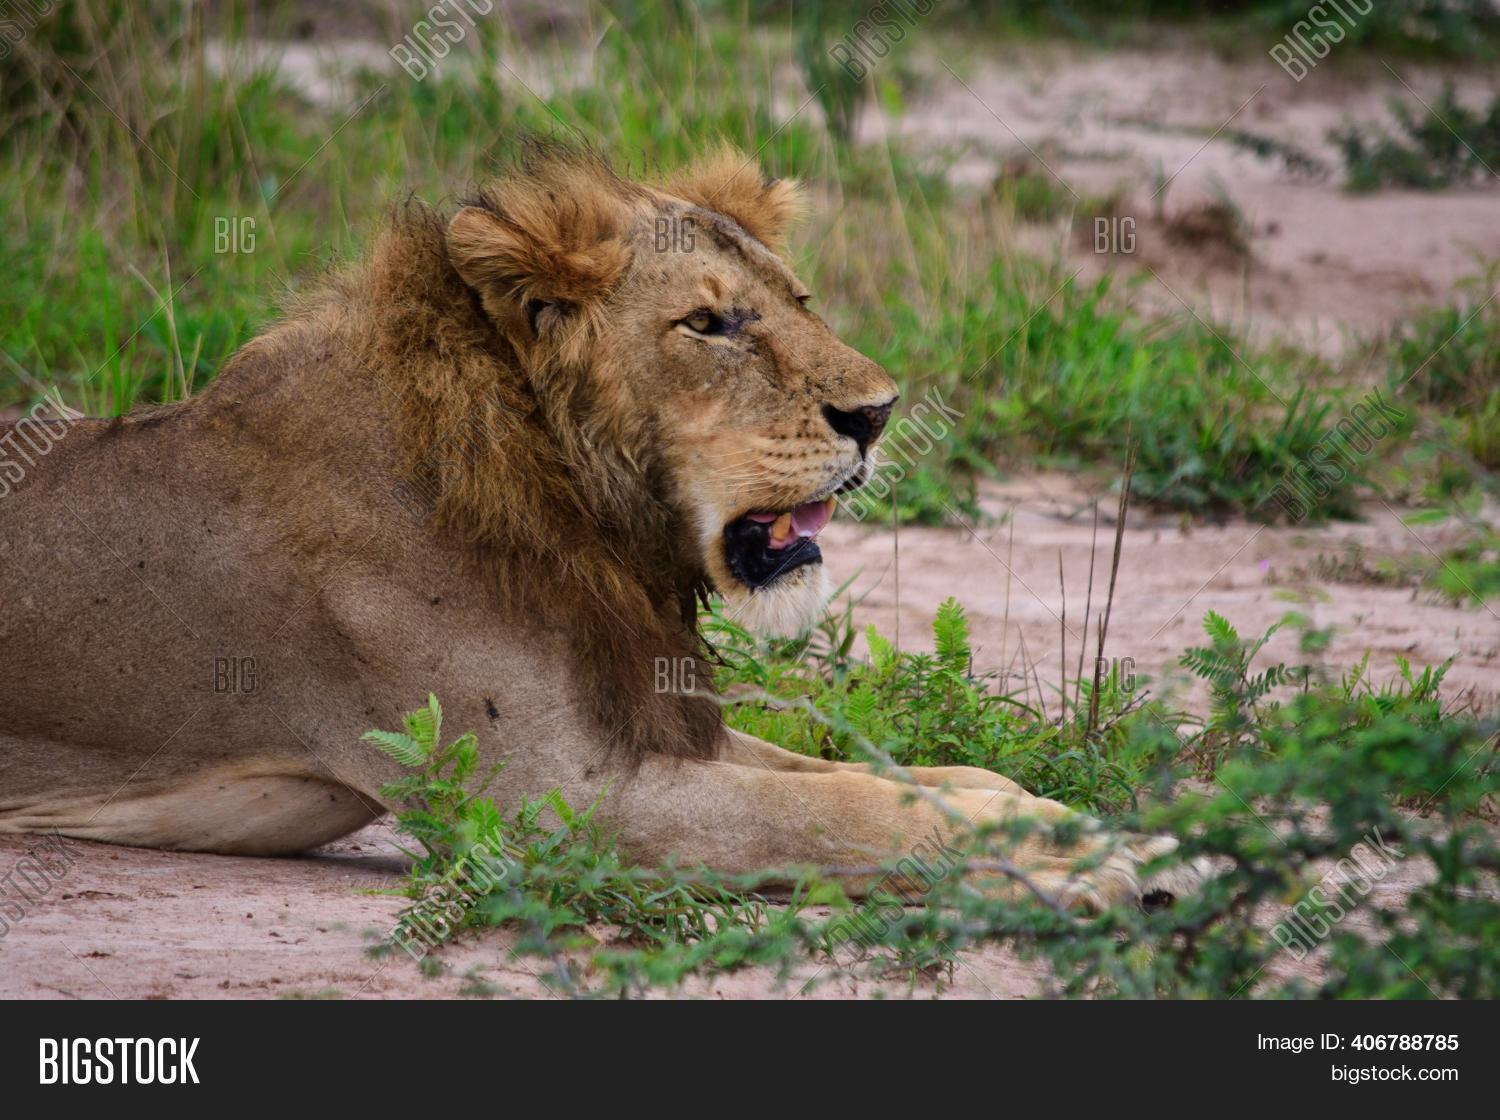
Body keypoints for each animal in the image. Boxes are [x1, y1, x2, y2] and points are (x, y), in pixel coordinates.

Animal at [0, 142, 1198, 912]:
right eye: (708, 323)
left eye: (800, 301)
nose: (878, 413)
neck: (574, 498)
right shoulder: (559, 802)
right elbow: (851, 810)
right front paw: (1068, 860)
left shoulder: (646, 718)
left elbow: (904, 774)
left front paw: (1090, 824)